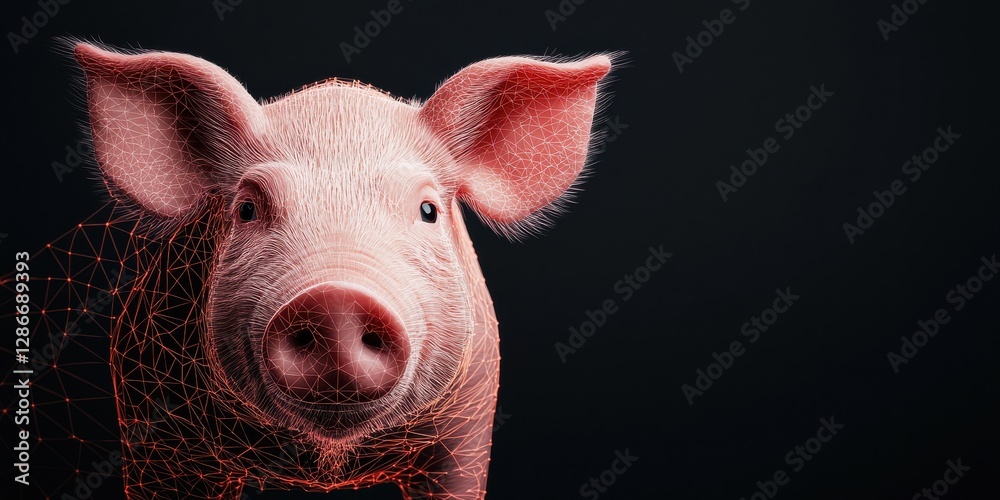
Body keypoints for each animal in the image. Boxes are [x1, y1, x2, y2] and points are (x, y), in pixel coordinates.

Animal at [71, 41, 613, 498]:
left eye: (428, 210)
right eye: (247, 209)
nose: (336, 300)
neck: (330, 462)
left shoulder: (467, 428)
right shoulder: (159, 431)